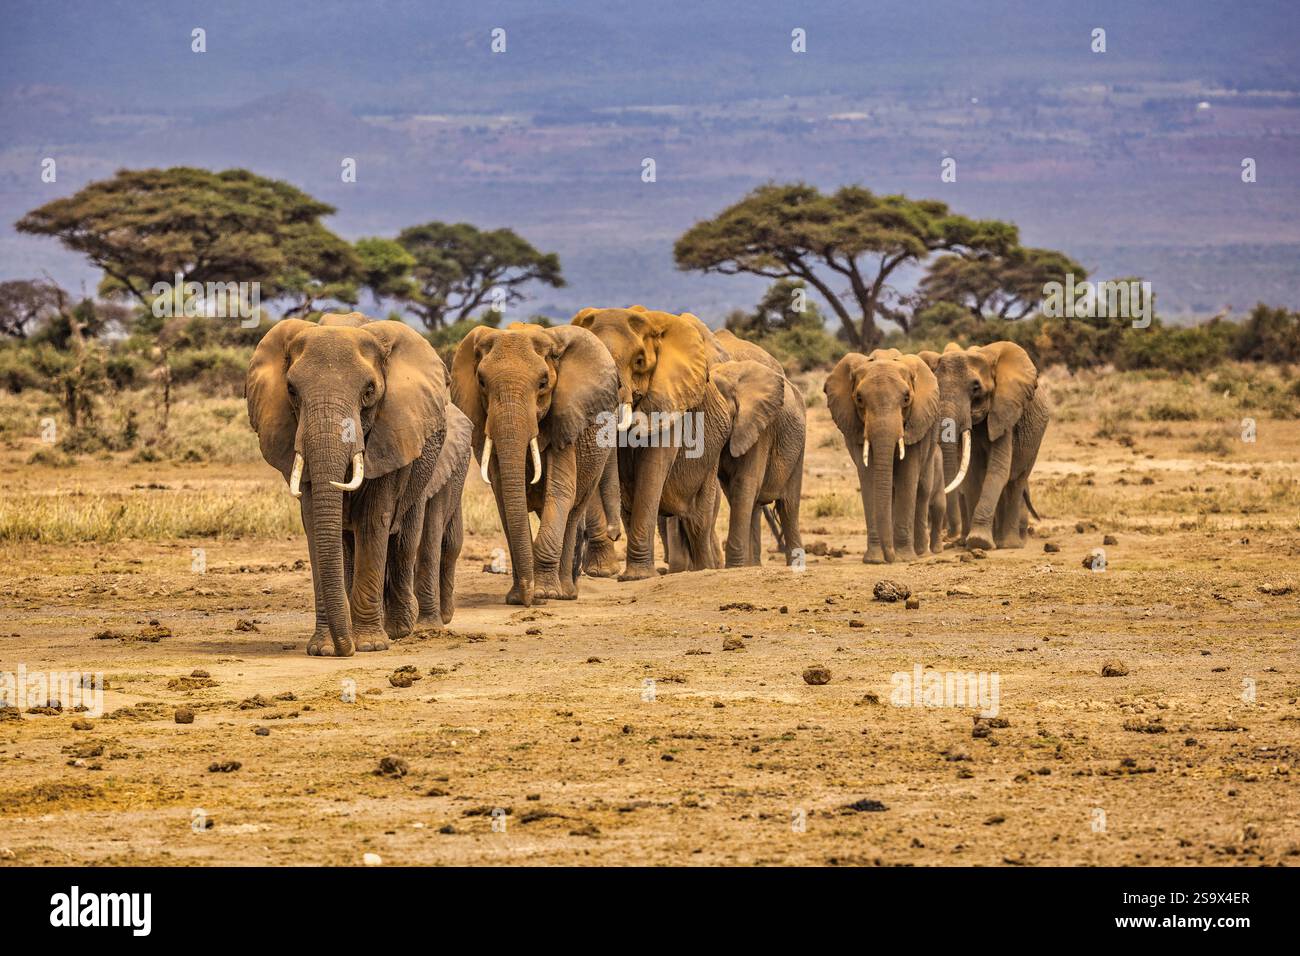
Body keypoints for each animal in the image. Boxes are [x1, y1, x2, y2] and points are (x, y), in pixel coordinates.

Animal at [246, 312, 455, 657]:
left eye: (369, 391)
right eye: (291, 389)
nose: (347, 650)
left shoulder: (392, 433)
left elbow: (373, 521)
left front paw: (370, 645)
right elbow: (316, 524)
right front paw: (323, 649)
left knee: (403, 538)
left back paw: (399, 630)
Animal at [451, 322, 619, 606]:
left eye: (543, 383)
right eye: (481, 382)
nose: (529, 600)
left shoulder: (564, 421)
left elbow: (560, 491)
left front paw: (543, 594)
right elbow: (503, 496)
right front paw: (518, 597)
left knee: (574, 512)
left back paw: (565, 594)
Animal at [572, 306, 785, 578]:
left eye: (639, 362)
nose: (613, 533)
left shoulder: (670, 400)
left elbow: (653, 466)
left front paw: (637, 576)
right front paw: (604, 572)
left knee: (698, 520)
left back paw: (703, 569)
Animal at [825, 349, 945, 563]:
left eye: (906, 398)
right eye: (859, 399)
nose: (890, 558)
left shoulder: (915, 421)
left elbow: (907, 476)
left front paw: (905, 558)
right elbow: (869, 478)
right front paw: (875, 560)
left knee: (922, 489)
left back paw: (920, 552)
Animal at [920, 341, 1048, 551]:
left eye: (976, 387)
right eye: (937, 387)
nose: (950, 538)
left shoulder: (1005, 411)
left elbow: (998, 470)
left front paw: (979, 541)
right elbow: (972, 475)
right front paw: (972, 543)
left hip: (1035, 441)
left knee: (1016, 482)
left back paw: (1009, 544)